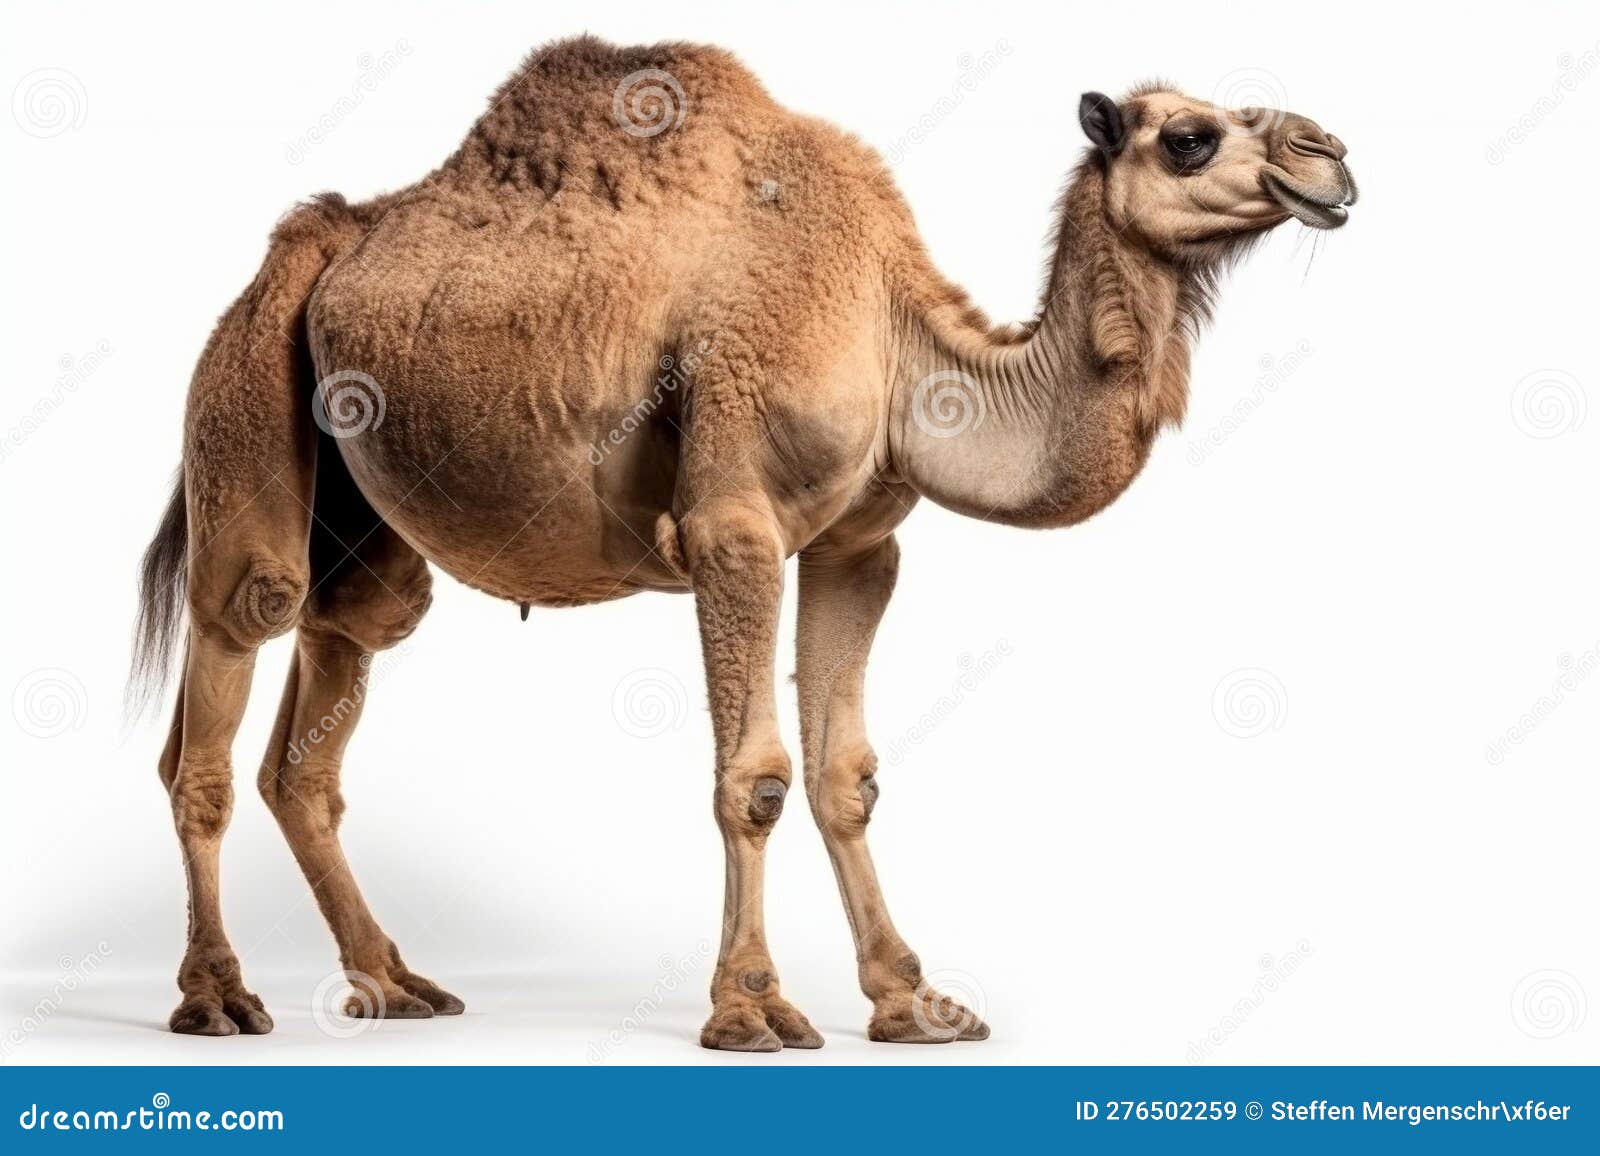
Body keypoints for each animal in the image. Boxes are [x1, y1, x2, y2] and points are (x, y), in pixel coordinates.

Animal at [129, 36, 1355, 1050]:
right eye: (1188, 134)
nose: (1330, 154)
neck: (895, 336)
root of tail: (308, 245)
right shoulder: (733, 525)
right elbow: (754, 776)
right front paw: (752, 1009)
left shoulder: (860, 545)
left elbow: (846, 774)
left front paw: (913, 1001)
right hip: (242, 388)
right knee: (235, 651)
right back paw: (217, 997)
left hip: (367, 507)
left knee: (330, 685)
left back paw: (391, 983)